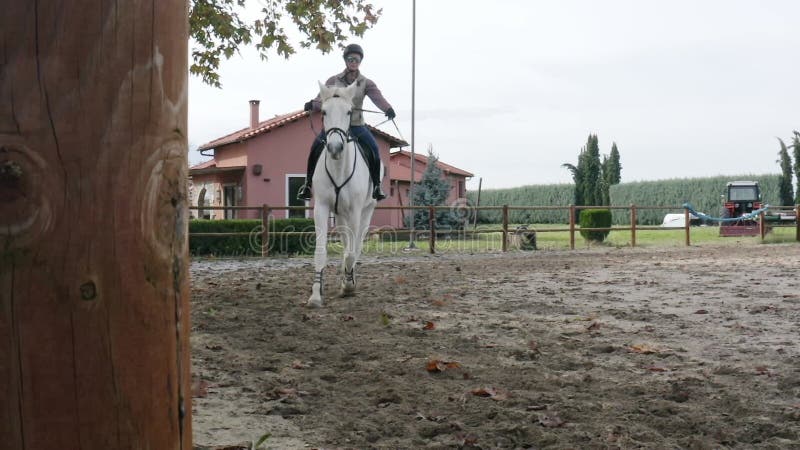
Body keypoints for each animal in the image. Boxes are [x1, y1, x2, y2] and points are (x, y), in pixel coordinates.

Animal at [307, 81, 377, 307]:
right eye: (323, 112)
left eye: (349, 111)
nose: (335, 148)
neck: (339, 168)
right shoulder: (322, 208)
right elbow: (321, 251)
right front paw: (316, 294)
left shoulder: (355, 211)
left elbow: (351, 253)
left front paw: (348, 285)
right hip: (339, 214)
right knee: (347, 241)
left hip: (366, 211)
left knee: (357, 245)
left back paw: (349, 280)